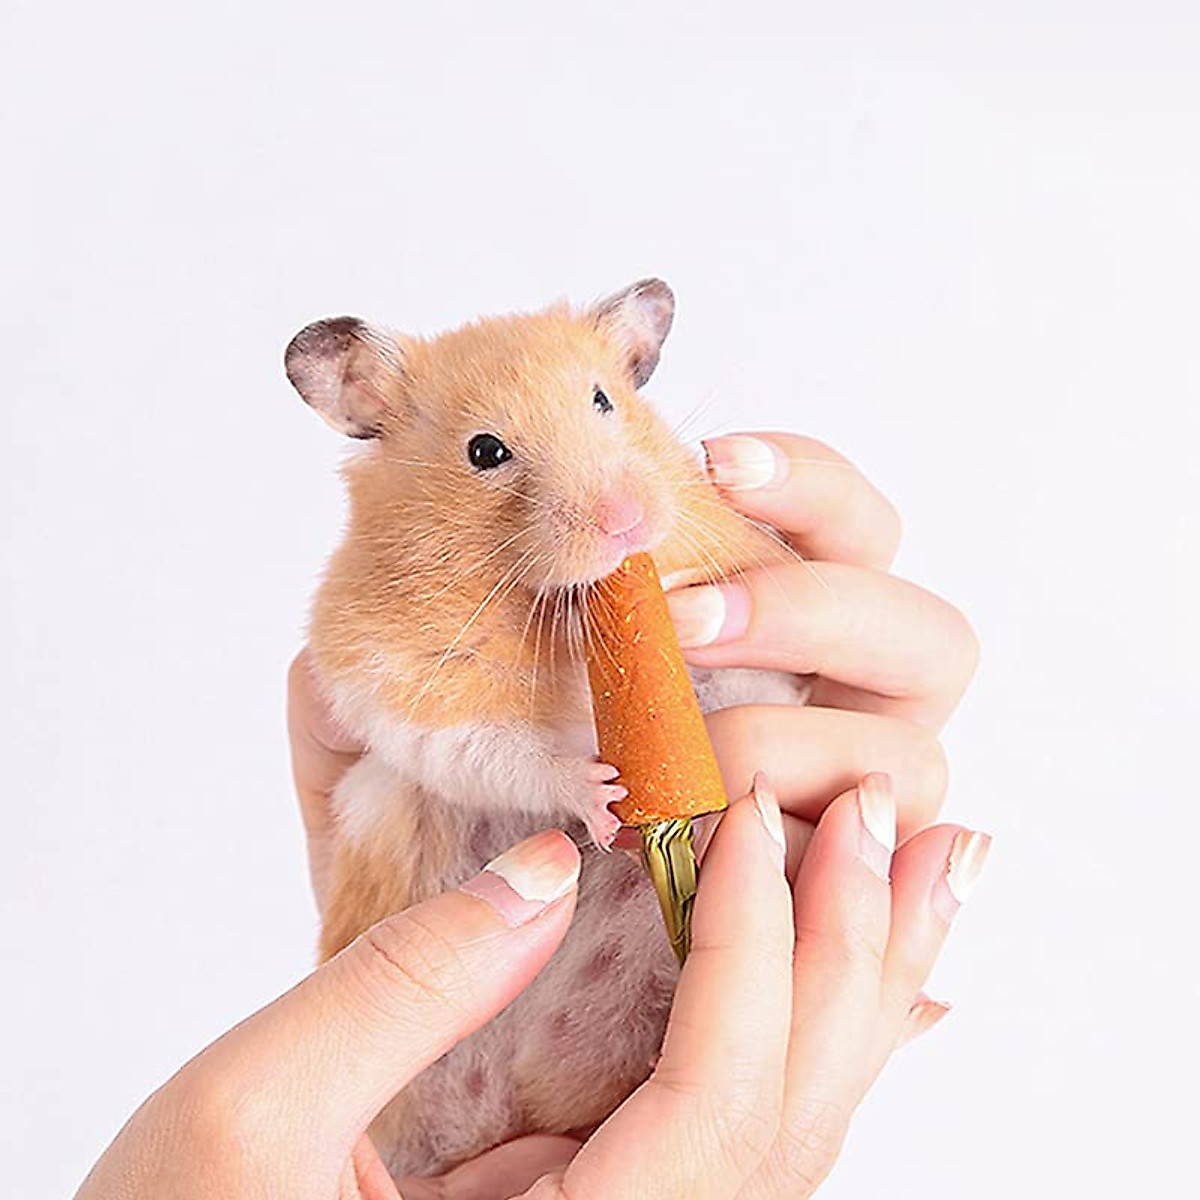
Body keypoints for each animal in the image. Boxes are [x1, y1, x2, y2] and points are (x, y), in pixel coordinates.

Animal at [284, 279, 804, 1178]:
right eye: (485, 451)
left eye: (602, 401)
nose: (626, 519)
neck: (557, 610)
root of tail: (491, 1115)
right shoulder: (403, 686)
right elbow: (499, 752)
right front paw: (600, 793)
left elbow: (747, 675)